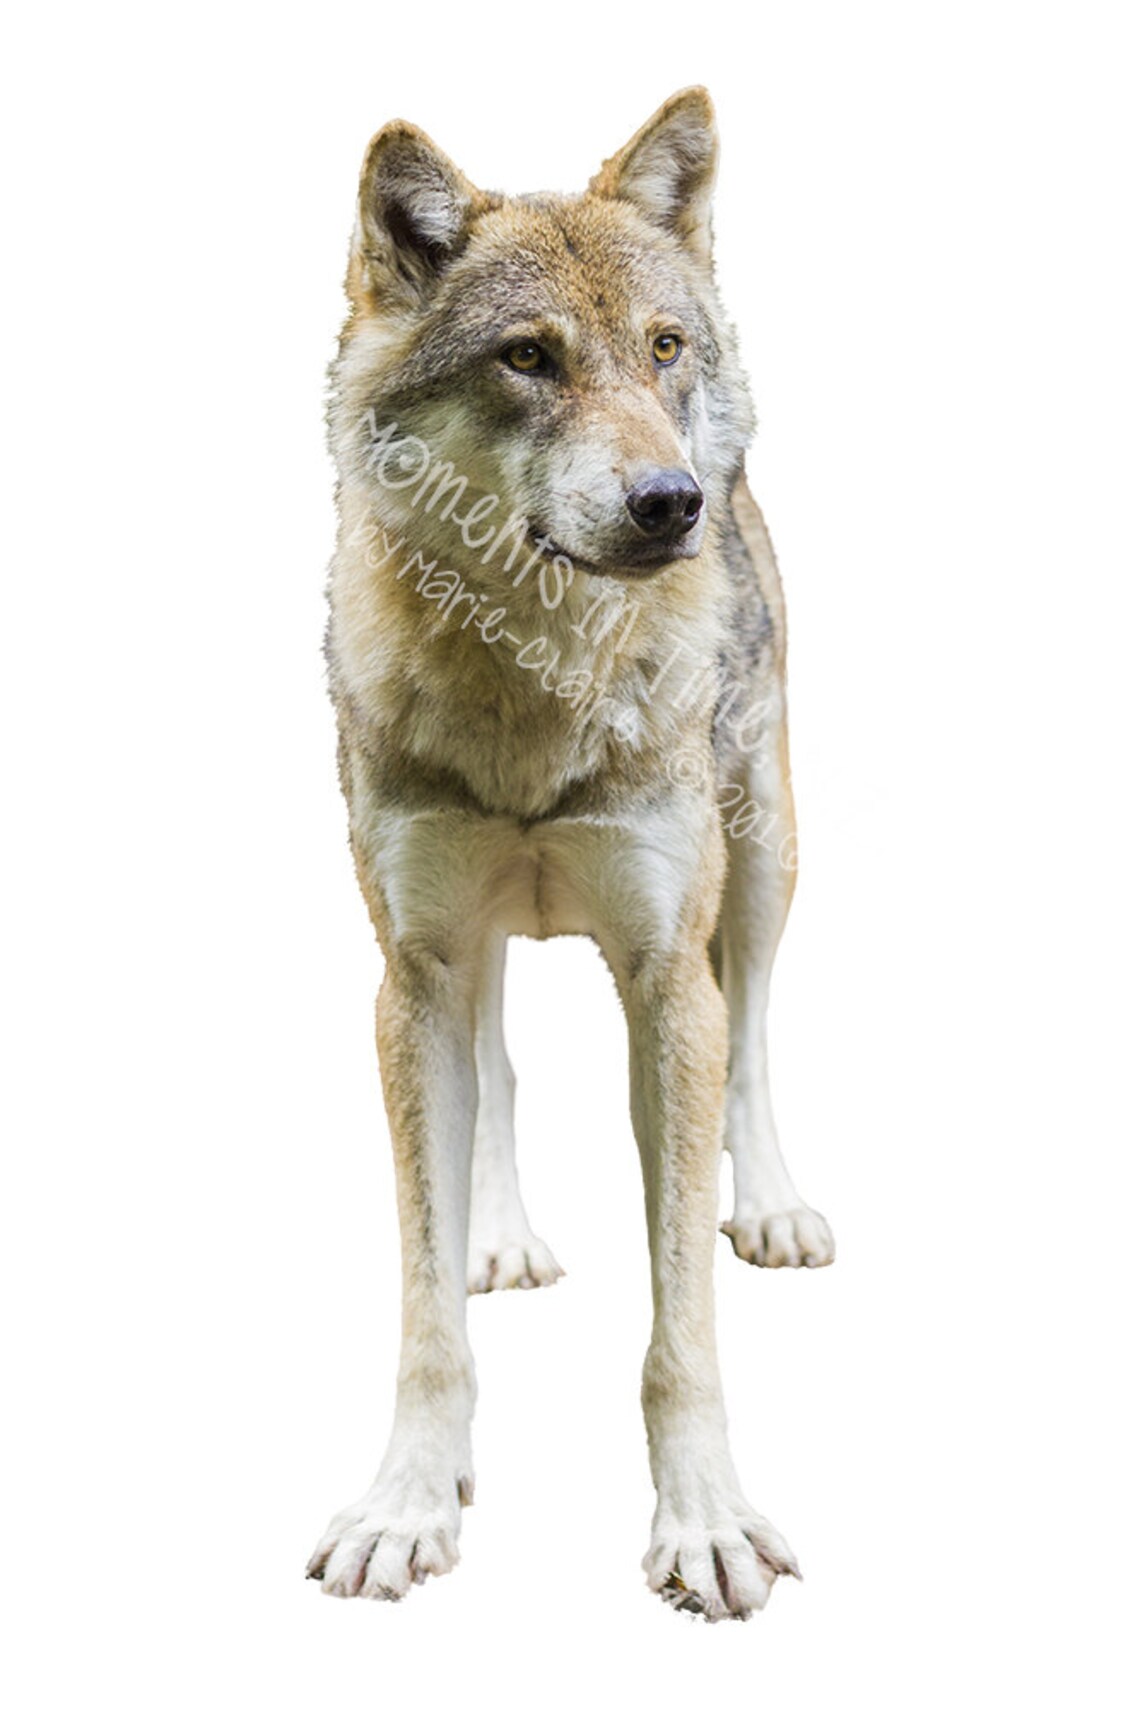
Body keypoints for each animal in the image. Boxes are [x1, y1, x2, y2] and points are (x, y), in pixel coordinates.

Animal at [305, 87, 834, 1622]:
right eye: (528, 357)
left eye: (660, 348)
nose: (672, 502)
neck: (535, 688)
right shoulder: (412, 967)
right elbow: (425, 1304)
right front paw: (407, 1506)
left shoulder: (664, 978)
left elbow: (682, 1328)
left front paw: (708, 1525)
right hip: (468, 950)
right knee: (496, 1065)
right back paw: (503, 1234)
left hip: (766, 858)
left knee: (756, 1028)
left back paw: (772, 1205)